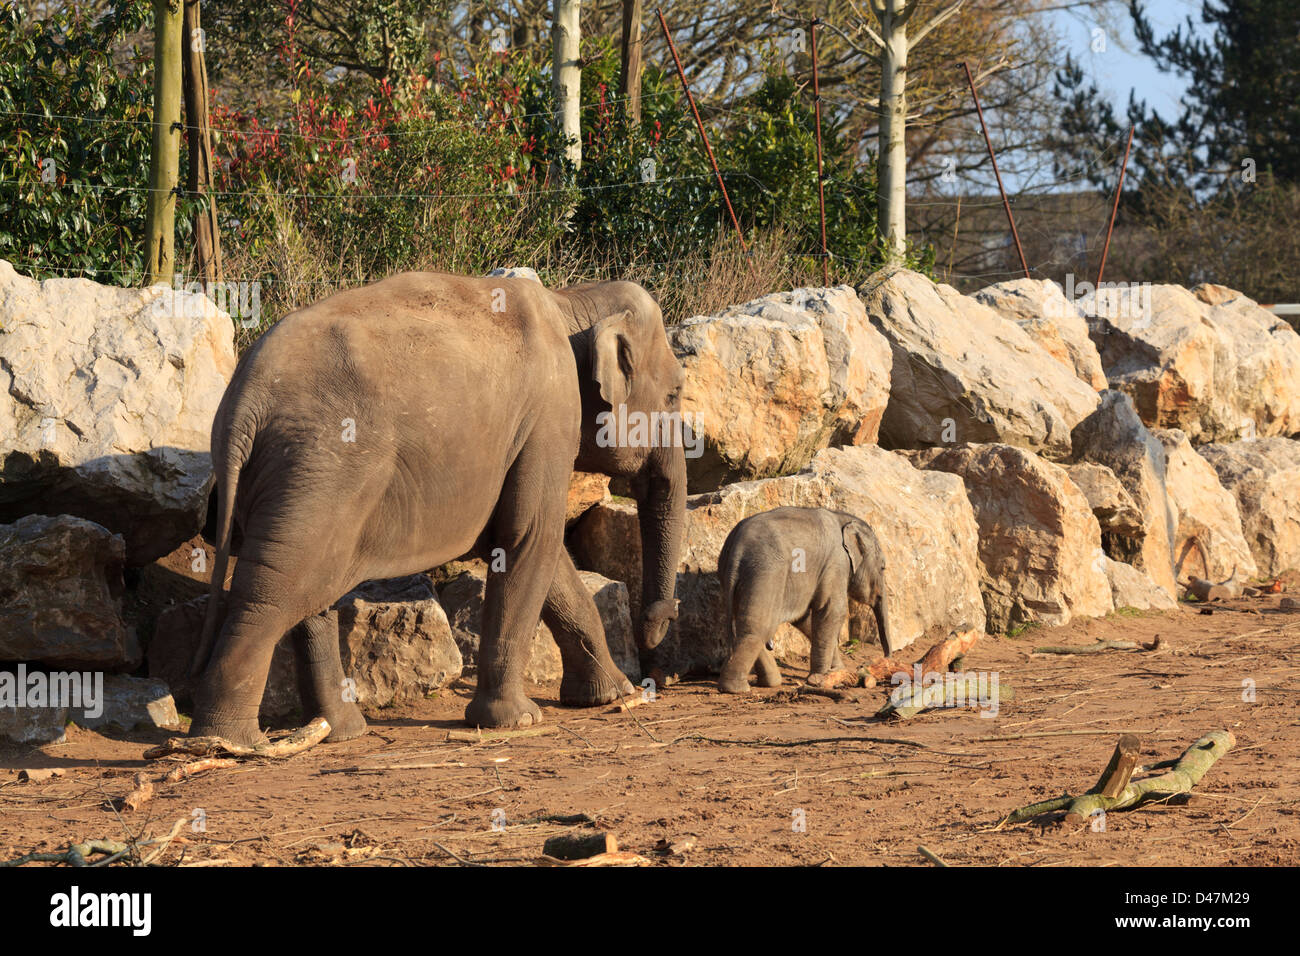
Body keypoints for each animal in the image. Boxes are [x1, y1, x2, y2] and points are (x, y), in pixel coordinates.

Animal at [187, 271, 687, 746]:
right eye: (675, 395)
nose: (656, 628)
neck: (572, 303)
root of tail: (243, 402)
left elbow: (526, 550)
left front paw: (610, 694)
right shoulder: (547, 417)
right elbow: (530, 539)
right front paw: (517, 720)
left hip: (294, 481)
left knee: (309, 586)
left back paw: (338, 730)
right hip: (318, 469)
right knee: (275, 589)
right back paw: (227, 741)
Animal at [716, 506, 891, 694]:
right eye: (883, 567)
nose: (885, 659)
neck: (842, 517)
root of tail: (737, 549)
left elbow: (805, 619)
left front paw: (837, 671)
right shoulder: (836, 563)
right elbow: (832, 611)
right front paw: (819, 679)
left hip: (737, 576)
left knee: (747, 624)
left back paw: (770, 682)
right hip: (765, 574)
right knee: (760, 626)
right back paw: (736, 689)